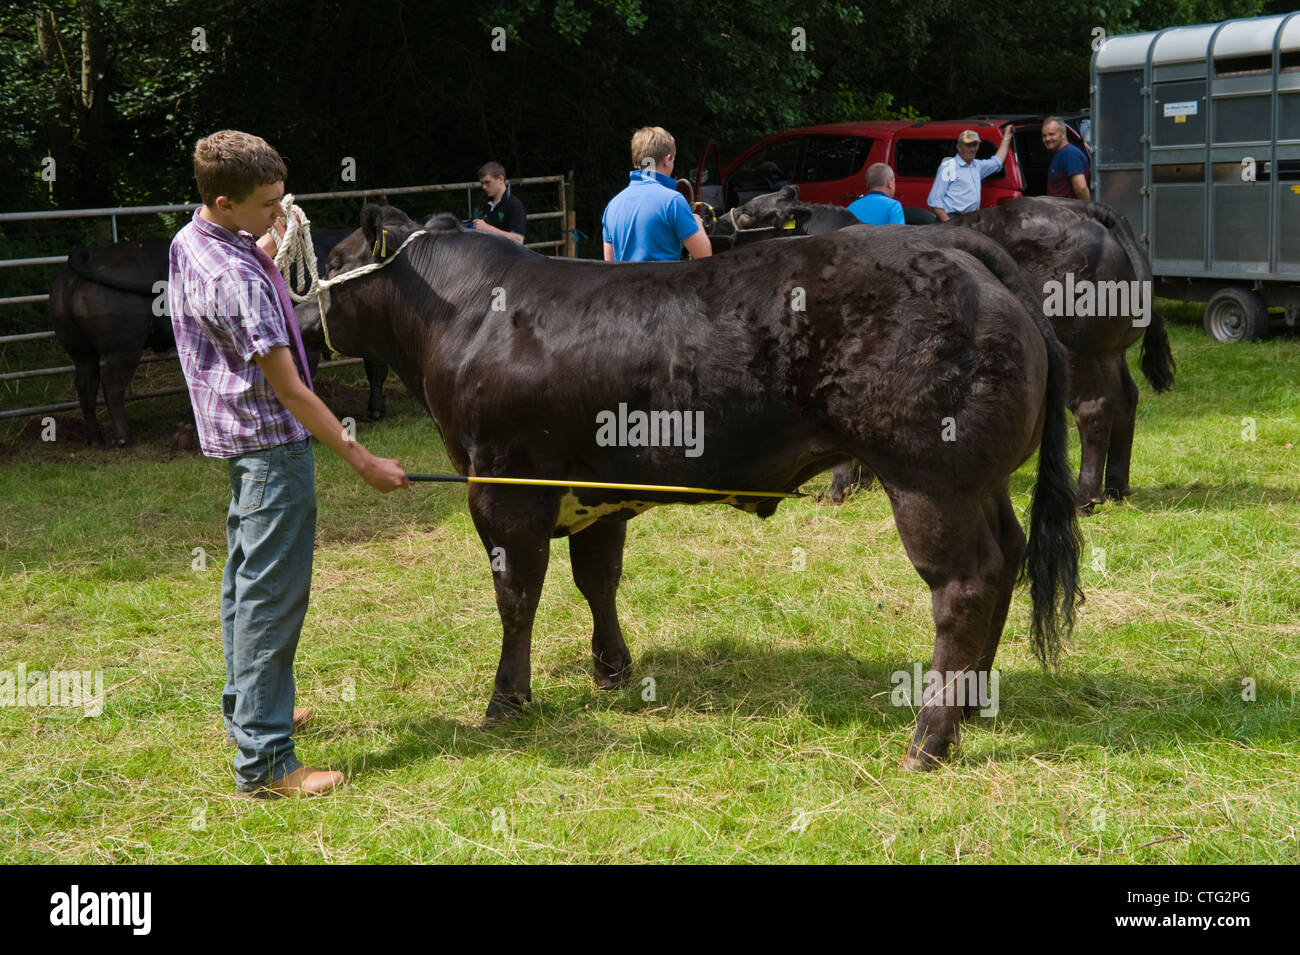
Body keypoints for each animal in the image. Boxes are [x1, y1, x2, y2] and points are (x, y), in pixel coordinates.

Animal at [317, 203, 1083, 770]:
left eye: (327, 263)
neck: (469, 313)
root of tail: (951, 242)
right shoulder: (591, 491)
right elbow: (597, 580)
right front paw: (611, 670)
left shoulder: (502, 491)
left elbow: (518, 600)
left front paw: (506, 700)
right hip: (981, 481)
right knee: (1009, 557)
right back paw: (974, 704)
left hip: (930, 480)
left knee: (964, 586)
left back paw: (930, 737)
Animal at [711, 189, 1176, 511]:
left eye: (751, 212)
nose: (715, 225)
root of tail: (1085, 209)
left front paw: (838, 488)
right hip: (1108, 350)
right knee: (1126, 400)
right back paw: (1116, 487)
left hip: (1078, 349)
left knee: (1095, 408)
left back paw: (1085, 497)